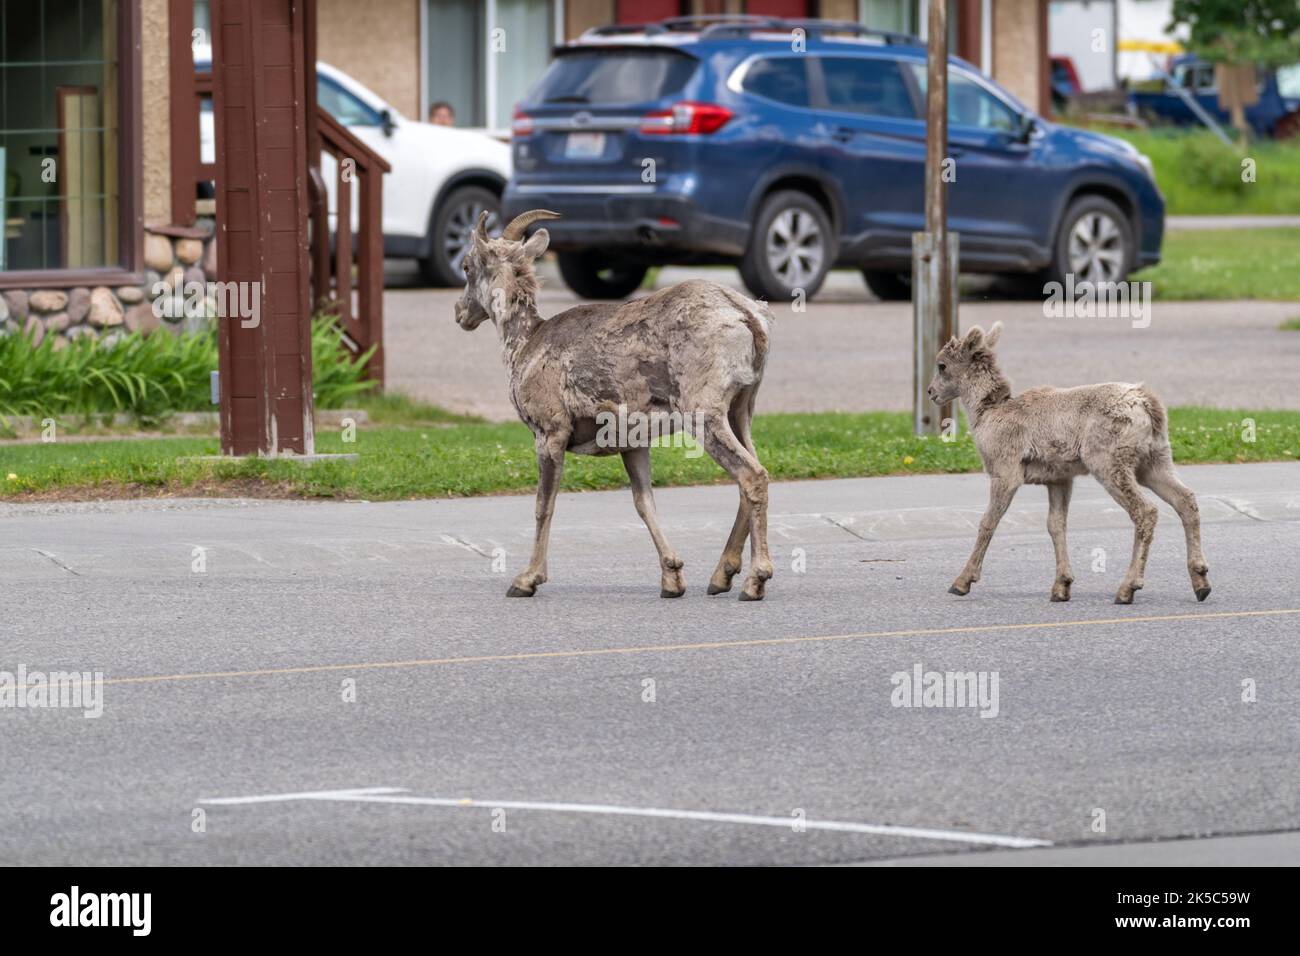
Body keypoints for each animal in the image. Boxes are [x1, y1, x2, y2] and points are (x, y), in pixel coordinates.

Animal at [454, 209, 775, 601]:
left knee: (752, 476)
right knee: (750, 479)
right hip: (740, 411)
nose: (460, 313)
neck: (525, 345)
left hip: (704, 415)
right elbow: (644, 504)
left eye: (467, 266)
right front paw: (672, 580)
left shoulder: (549, 434)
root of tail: (748, 316)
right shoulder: (633, 444)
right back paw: (720, 577)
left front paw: (525, 580)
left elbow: (544, 505)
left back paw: (754, 582)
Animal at [927, 321, 1211, 604]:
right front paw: (1061, 587)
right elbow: (1056, 525)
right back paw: (1201, 584)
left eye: (942, 365)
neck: (989, 414)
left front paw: (961, 583)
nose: (931, 393)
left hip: (1110, 465)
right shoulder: (1059, 479)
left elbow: (988, 522)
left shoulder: (1005, 474)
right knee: (1185, 500)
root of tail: (1147, 404)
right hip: (1154, 462)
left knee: (1146, 511)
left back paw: (1127, 589)